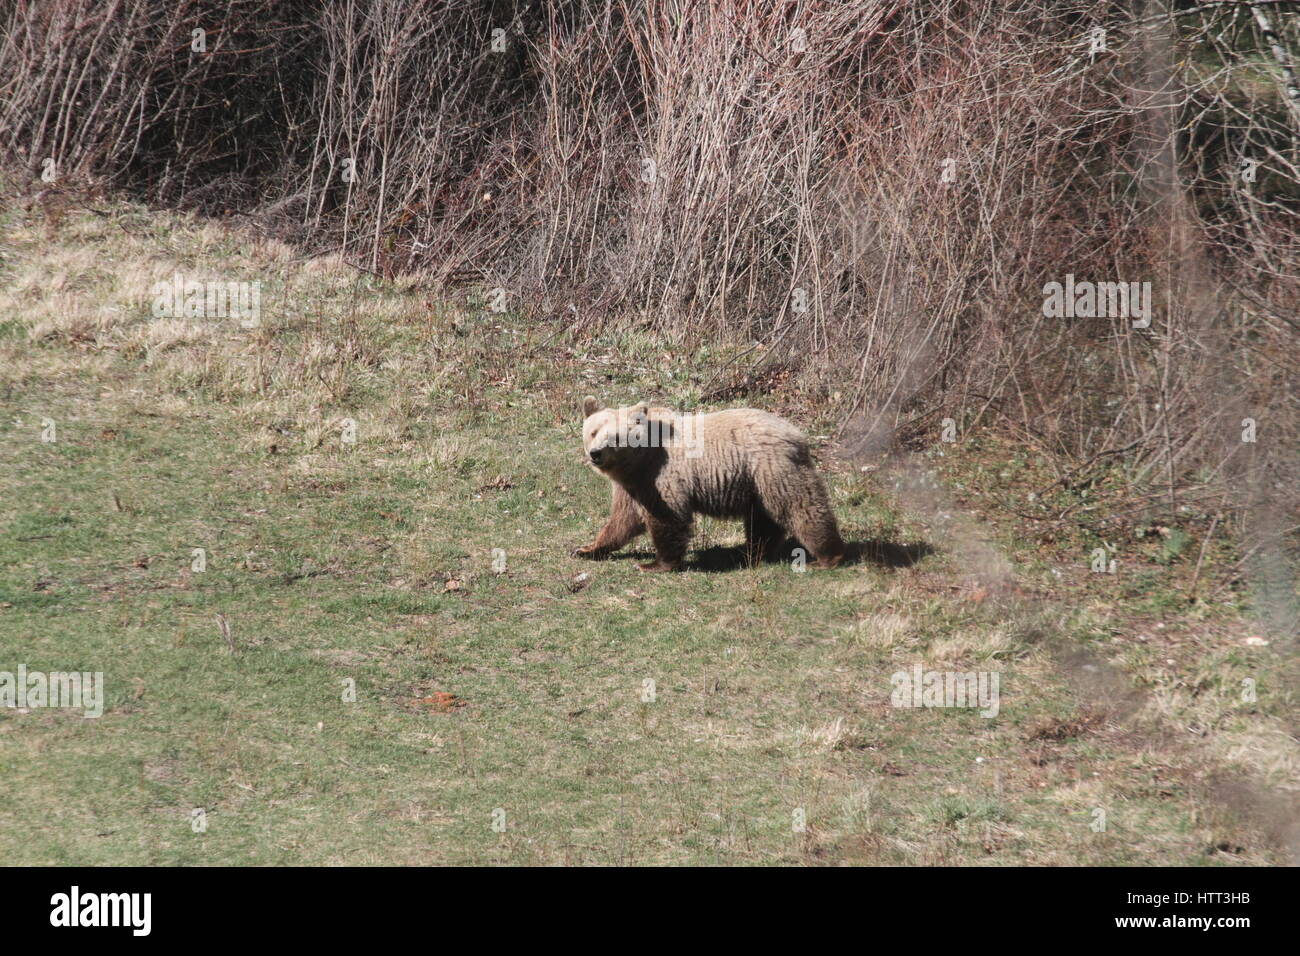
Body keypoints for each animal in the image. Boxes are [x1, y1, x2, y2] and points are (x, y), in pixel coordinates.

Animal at [574, 396, 845, 571]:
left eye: (616, 437)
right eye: (593, 432)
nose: (595, 454)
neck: (637, 462)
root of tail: (798, 435)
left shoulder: (661, 477)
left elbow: (667, 517)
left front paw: (655, 564)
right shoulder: (632, 486)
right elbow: (622, 520)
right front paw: (586, 549)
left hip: (771, 468)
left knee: (800, 506)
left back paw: (827, 556)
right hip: (757, 484)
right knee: (763, 520)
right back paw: (750, 554)